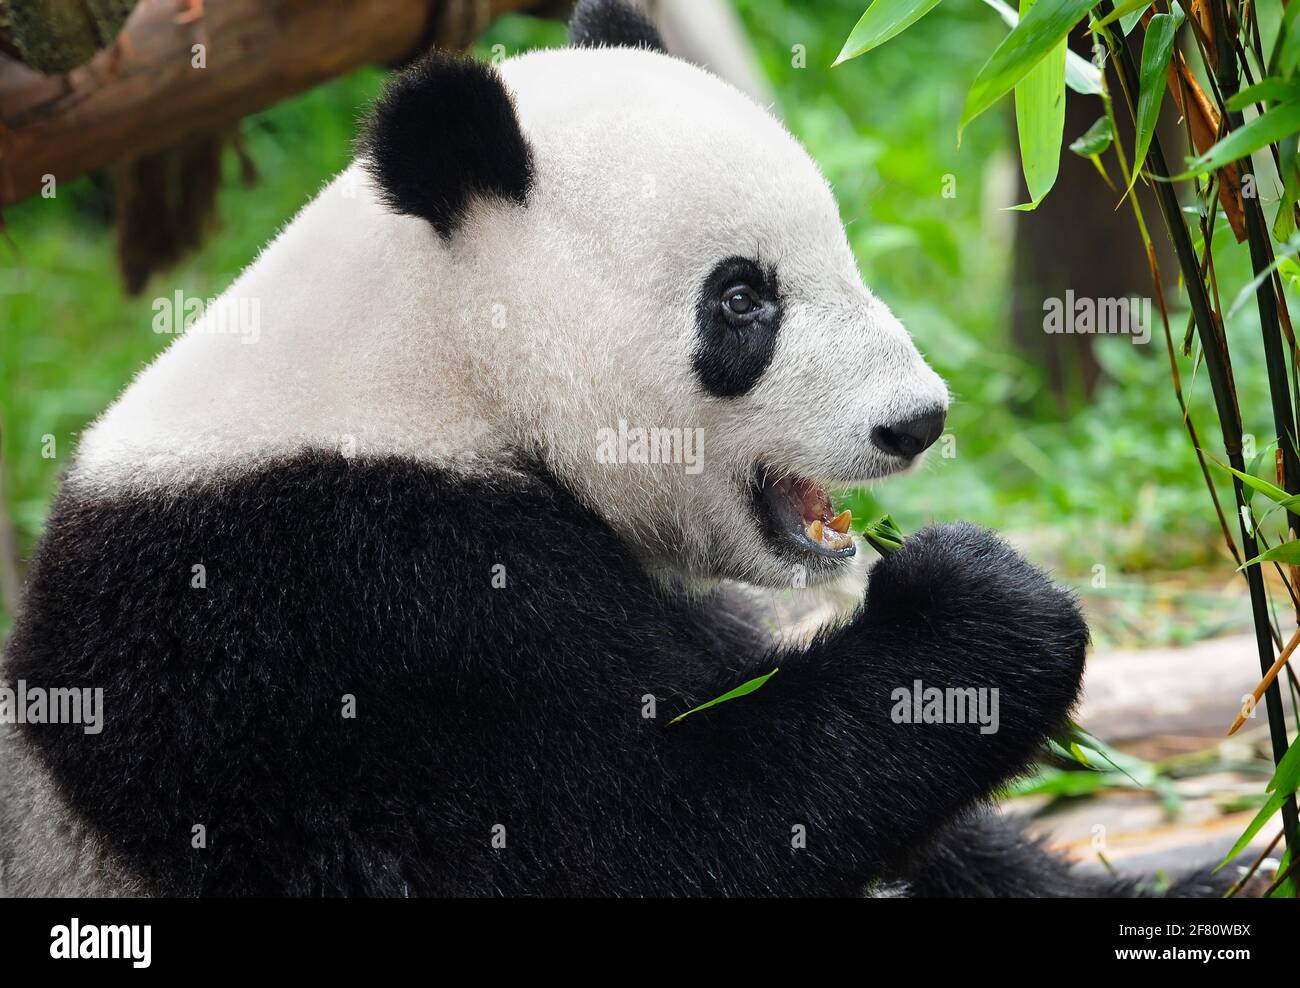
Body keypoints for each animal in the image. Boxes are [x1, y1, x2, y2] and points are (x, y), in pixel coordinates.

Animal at [0, 0, 1219, 898]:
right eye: (743, 298)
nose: (914, 421)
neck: (437, 368)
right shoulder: (329, 626)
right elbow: (628, 827)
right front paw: (977, 605)